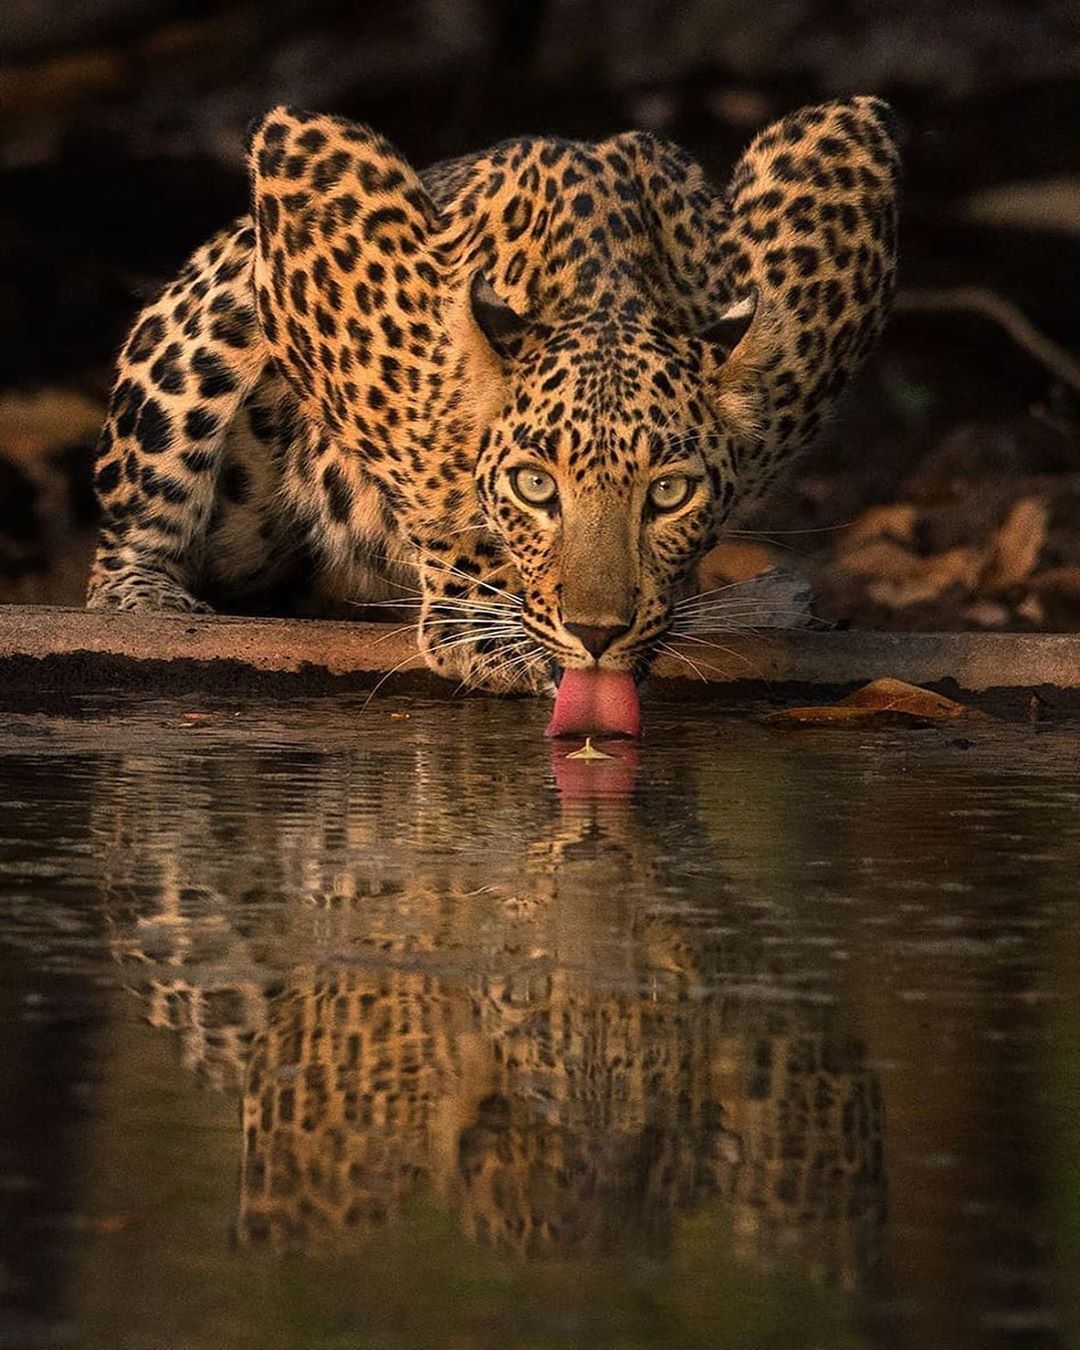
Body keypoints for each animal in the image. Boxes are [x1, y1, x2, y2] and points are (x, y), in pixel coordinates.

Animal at [87, 96, 900, 692]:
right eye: (534, 486)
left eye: (669, 494)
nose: (597, 634)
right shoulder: (308, 165)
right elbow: (419, 463)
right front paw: (488, 624)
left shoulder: (847, 157)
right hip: (217, 313)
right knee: (132, 529)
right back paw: (145, 600)